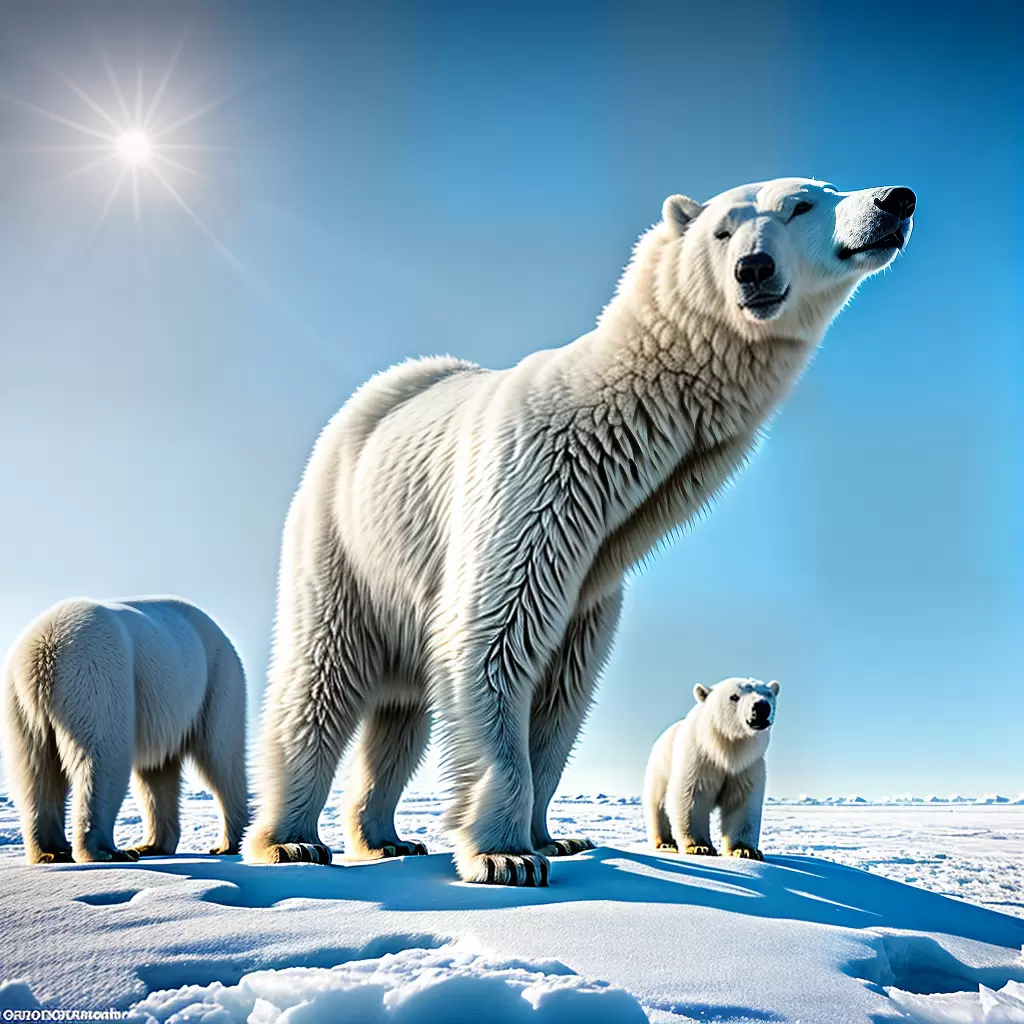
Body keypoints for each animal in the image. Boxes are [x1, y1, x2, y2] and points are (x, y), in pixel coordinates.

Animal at [643, 677, 779, 860]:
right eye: (734, 697)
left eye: (768, 694)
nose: (762, 707)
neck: (724, 752)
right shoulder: (699, 761)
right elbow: (691, 797)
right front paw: (699, 847)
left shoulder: (747, 767)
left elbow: (742, 802)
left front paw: (745, 850)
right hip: (659, 769)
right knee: (658, 806)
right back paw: (666, 843)